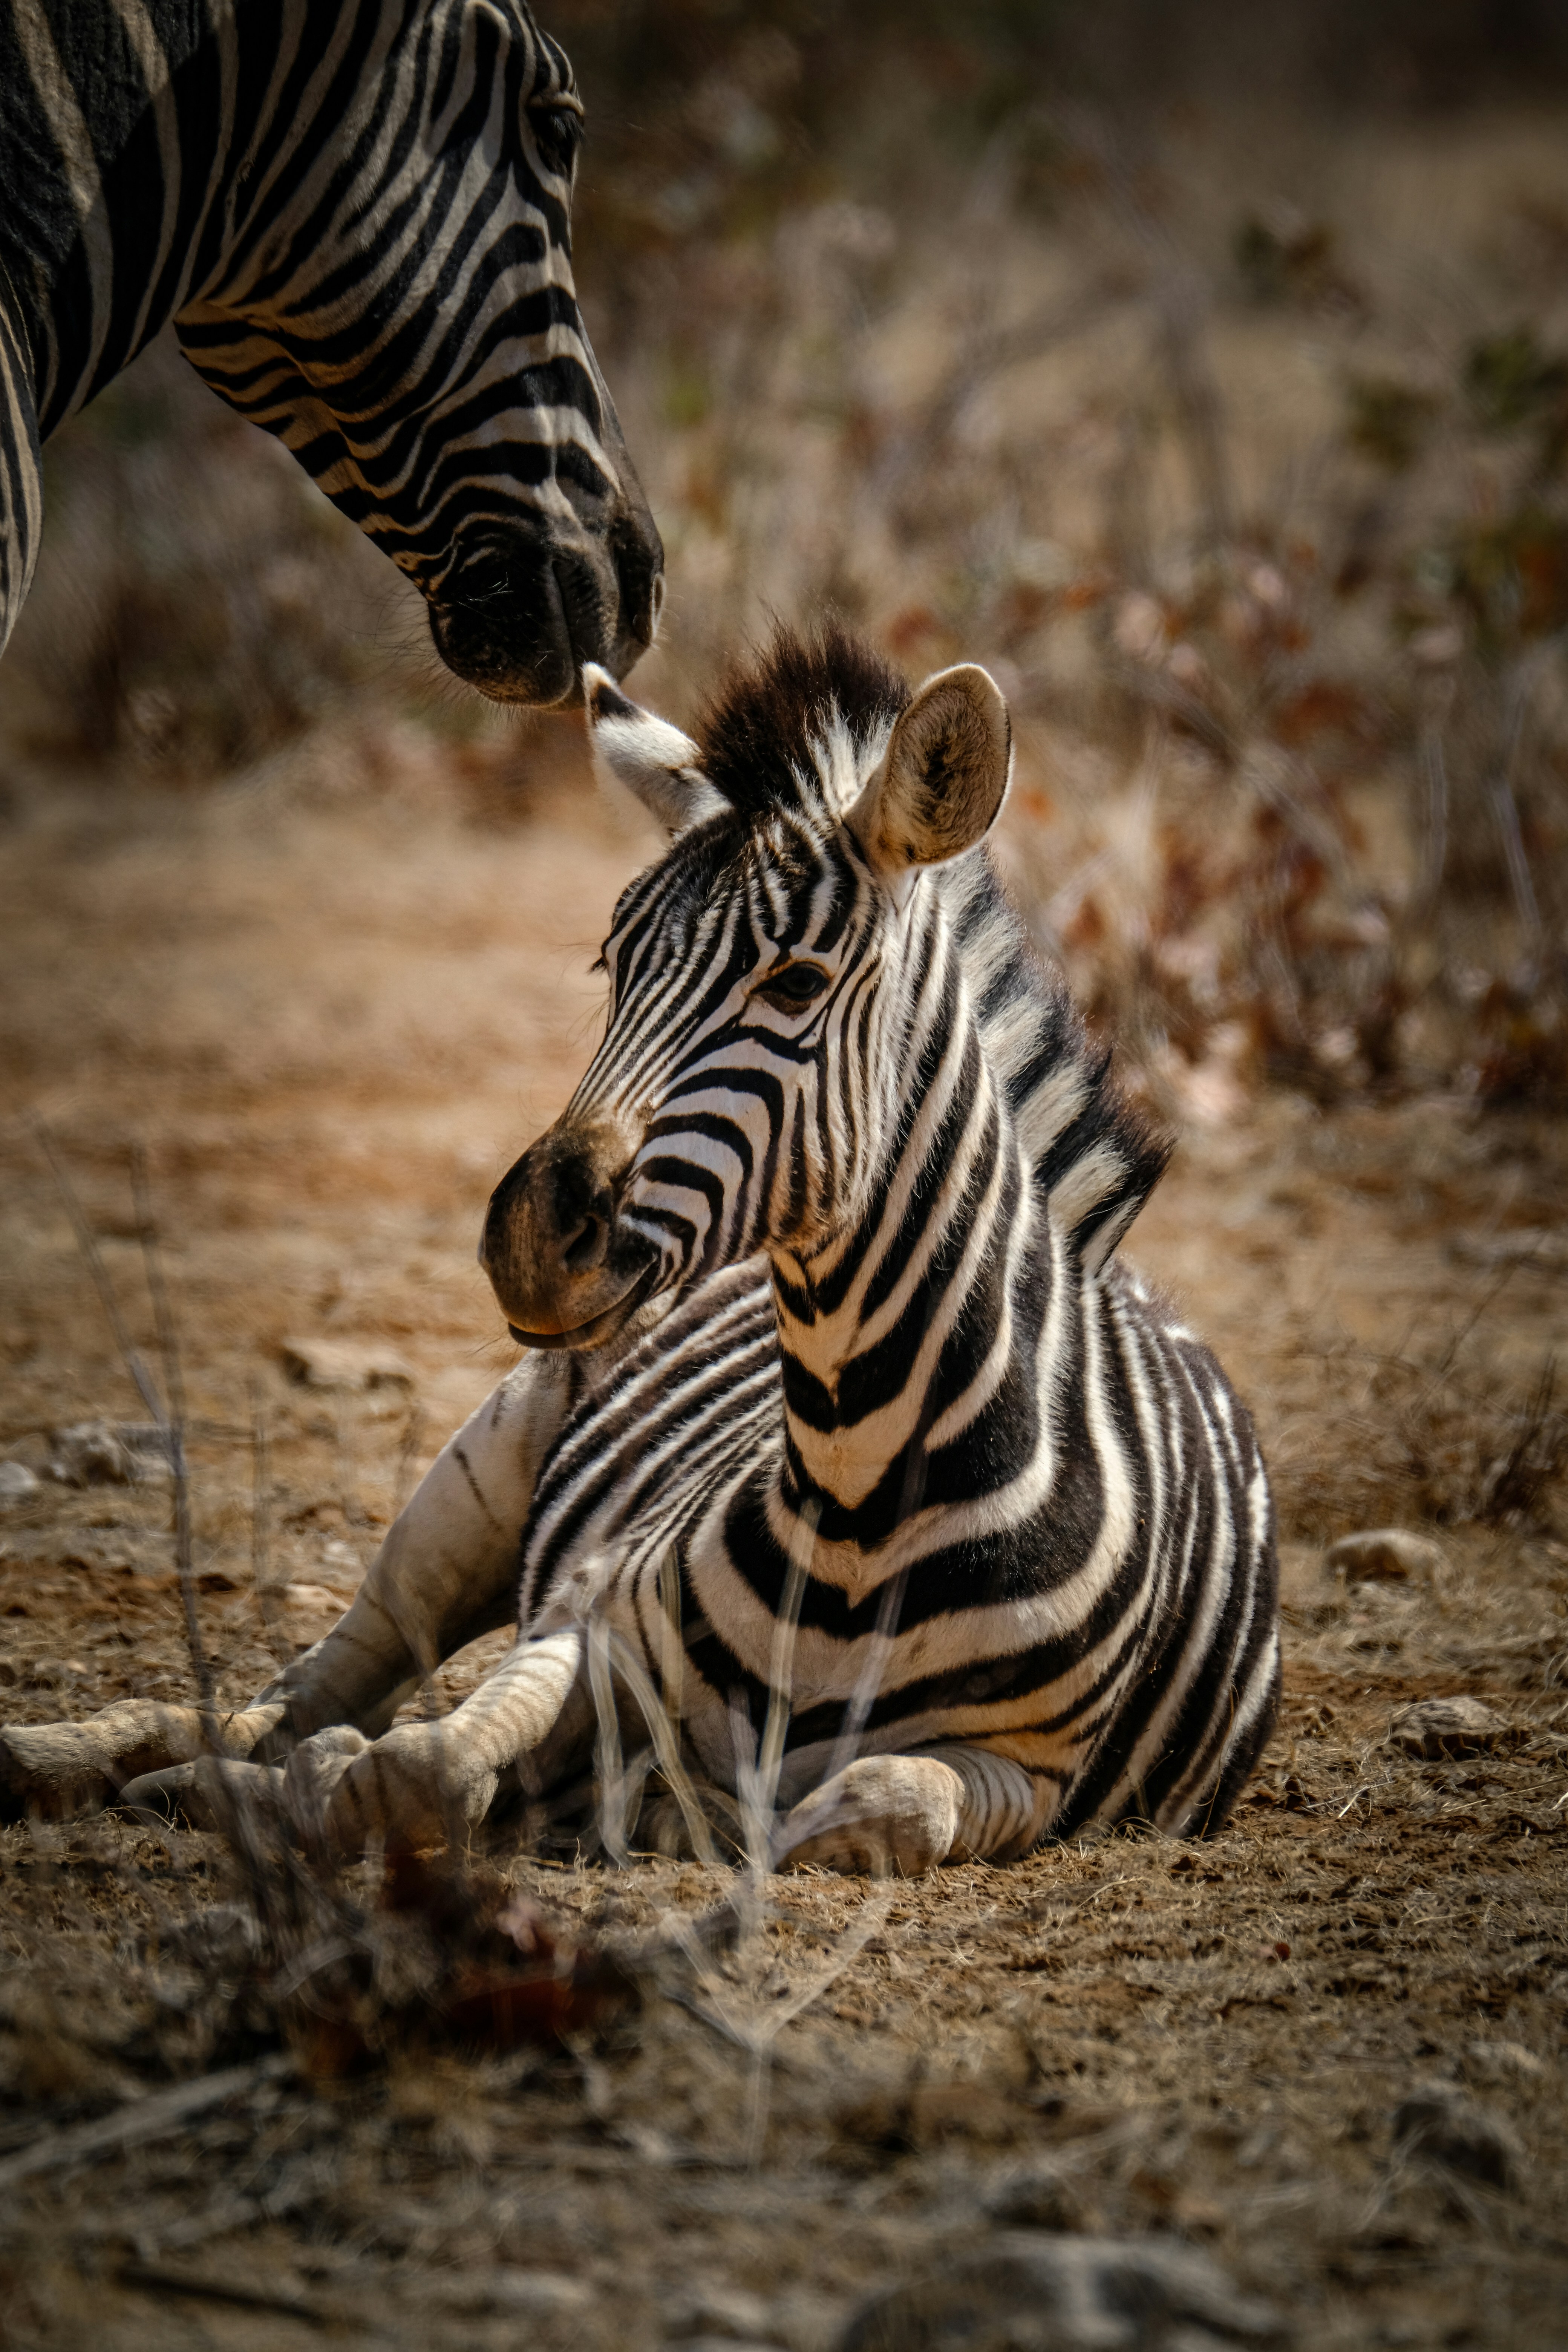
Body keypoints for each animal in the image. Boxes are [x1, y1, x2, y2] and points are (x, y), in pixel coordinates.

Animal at [0, 626, 1281, 1873]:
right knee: (289, 1699)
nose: (530, 1239)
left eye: (796, 984)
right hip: (470, 1488)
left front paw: (634, 1806)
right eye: (611, 966)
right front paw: (341, 1793)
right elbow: (417, 1765)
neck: (863, 1498)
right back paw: (92, 1763)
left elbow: (871, 1805)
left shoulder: (1032, 1779)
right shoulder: (590, 1607)